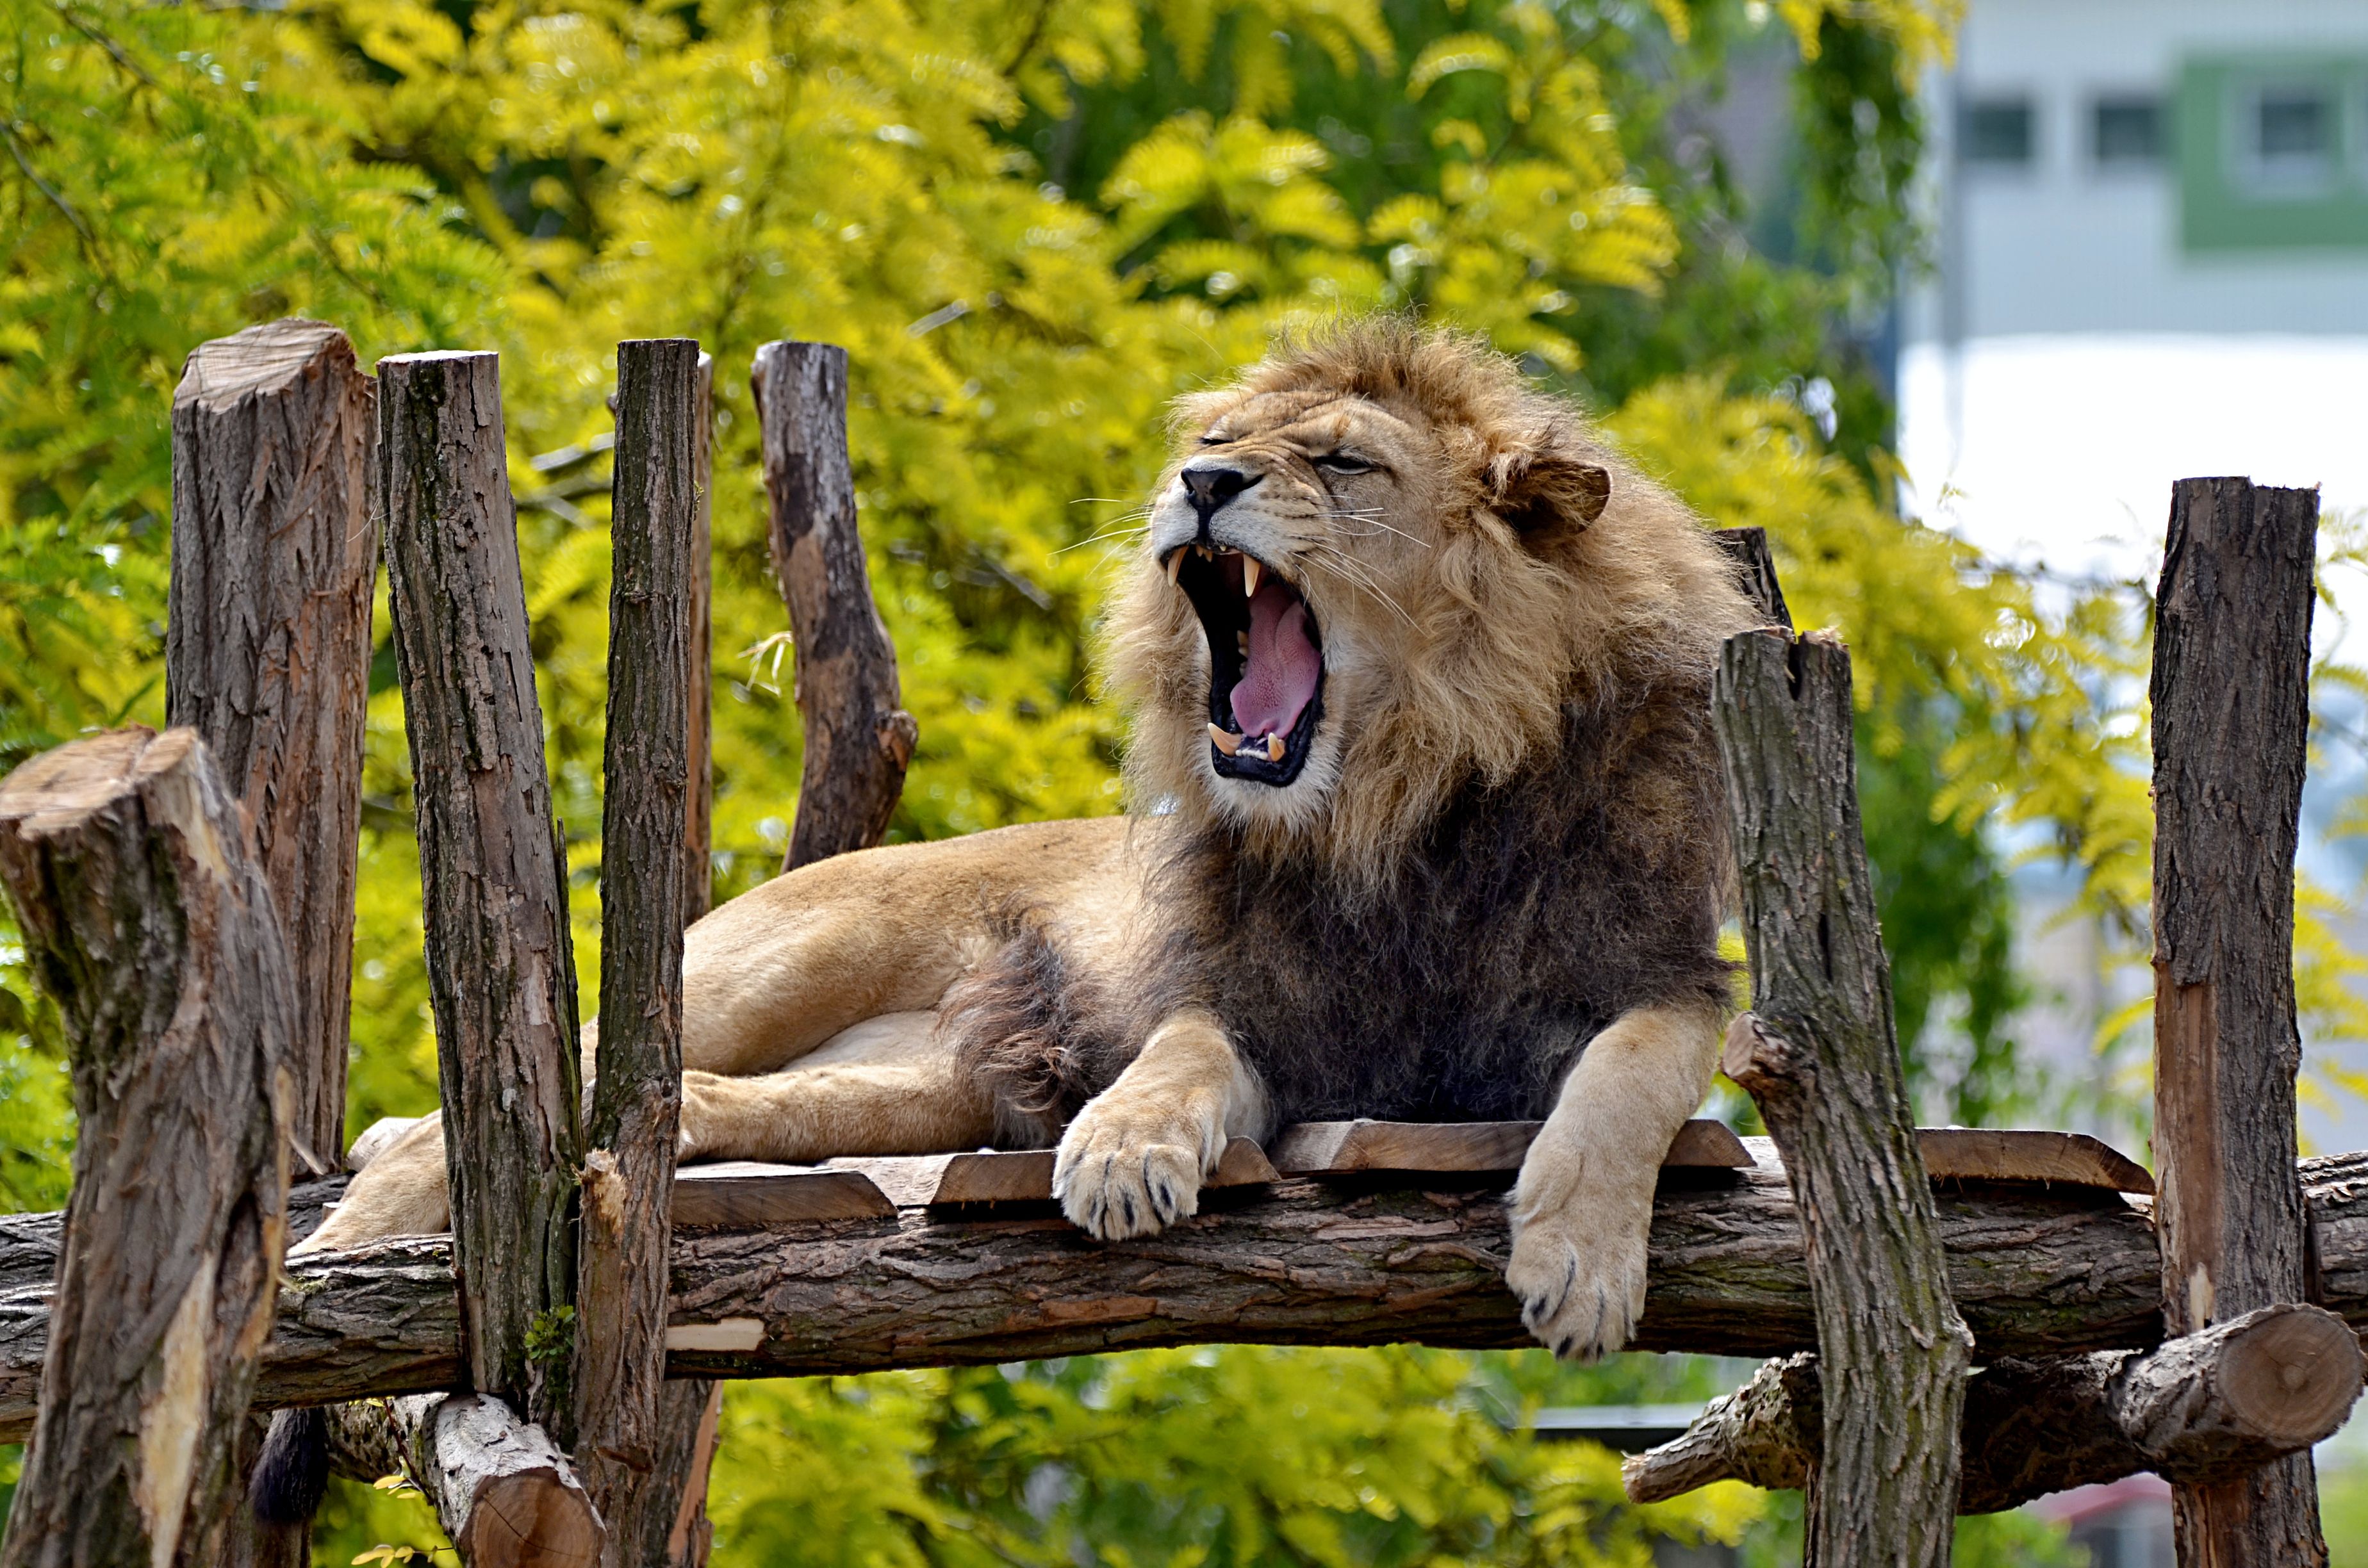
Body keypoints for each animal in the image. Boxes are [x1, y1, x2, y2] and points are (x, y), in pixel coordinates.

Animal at [302, 318, 1755, 1364]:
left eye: (1345, 463)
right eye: (1217, 438)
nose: (1202, 483)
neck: (1396, 807)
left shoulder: (1658, 975)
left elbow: (1624, 1082)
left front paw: (1578, 1260)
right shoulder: (1247, 1003)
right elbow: (1178, 1058)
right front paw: (1122, 1150)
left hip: (913, 1086)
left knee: (710, 1104)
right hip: (754, 971)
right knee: (491, 1125)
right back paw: (343, 1244)